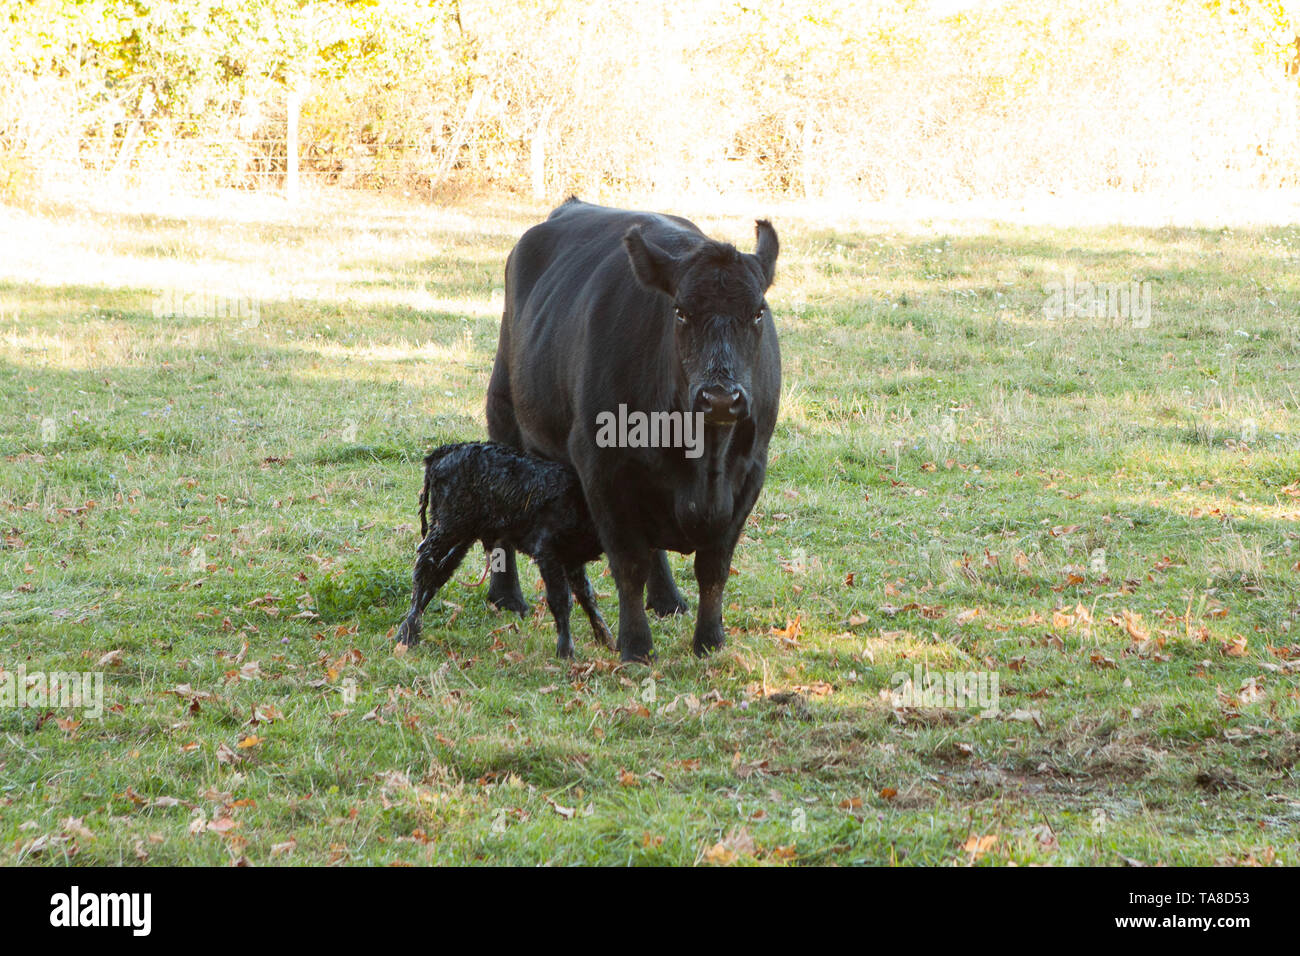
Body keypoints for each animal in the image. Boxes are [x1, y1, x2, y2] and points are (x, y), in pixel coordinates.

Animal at [484, 197, 780, 661]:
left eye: (757, 313)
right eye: (681, 311)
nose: (719, 398)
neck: (703, 459)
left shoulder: (751, 470)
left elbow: (714, 566)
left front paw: (710, 639)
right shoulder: (602, 467)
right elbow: (628, 562)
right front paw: (636, 644)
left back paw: (668, 599)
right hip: (503, 412)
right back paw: (506, 596)